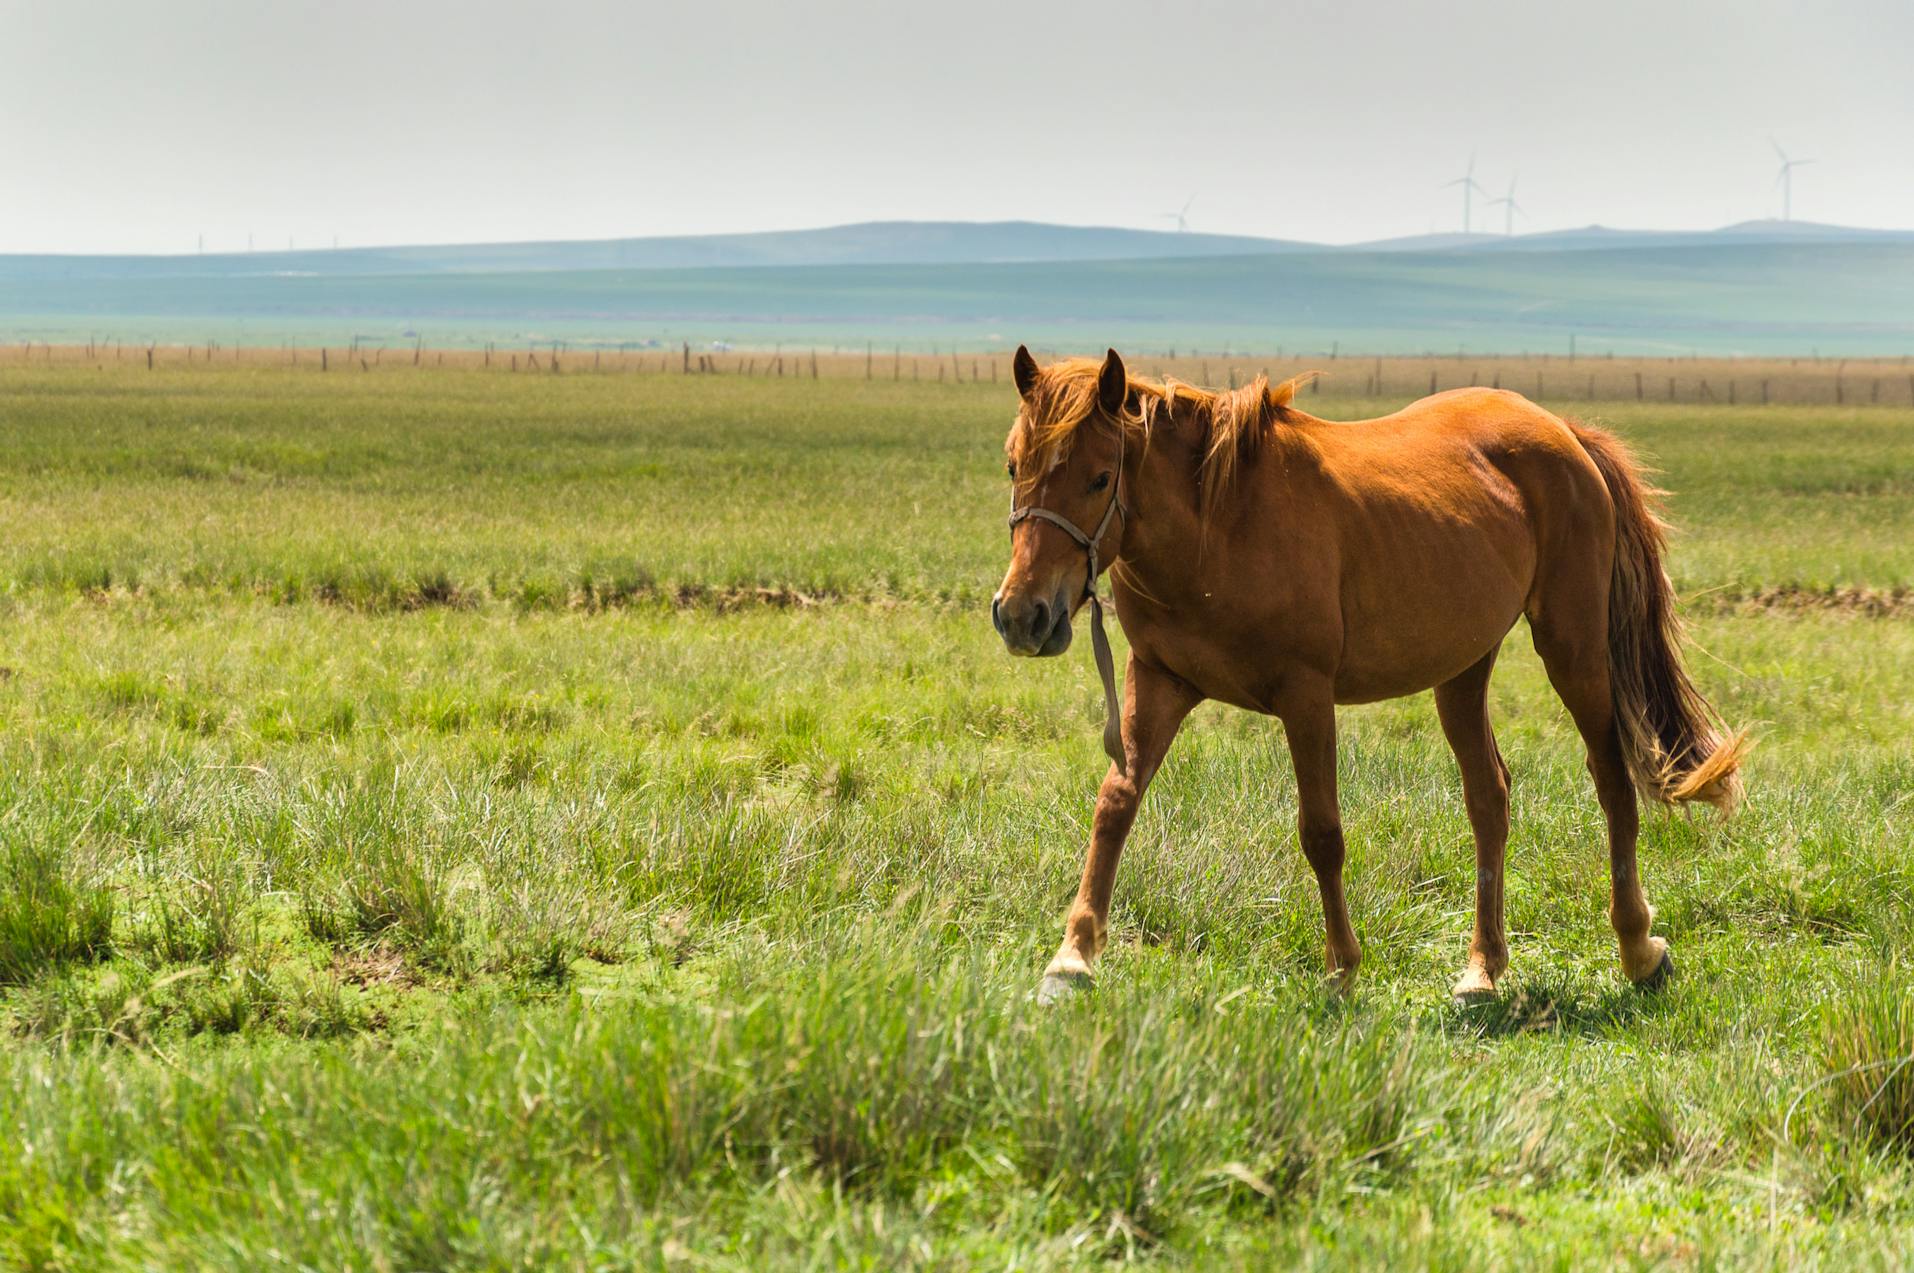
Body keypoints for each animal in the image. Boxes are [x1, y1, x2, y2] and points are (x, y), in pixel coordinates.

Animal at [991, 347, 1745, 1002]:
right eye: (1013, 466)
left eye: (1098, 477)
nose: (1022, 614)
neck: (1218, 528)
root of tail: (1563, 431)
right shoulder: (1159, 679)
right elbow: (1115, 804)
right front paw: (1072, 958)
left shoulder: (1305, 695)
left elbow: (1322, 833)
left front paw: (1343, 967)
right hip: (1461, 669)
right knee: (1489, 797)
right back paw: (1482, 969)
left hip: (1574, 649)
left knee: (1612, 783)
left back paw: (1638, 948)